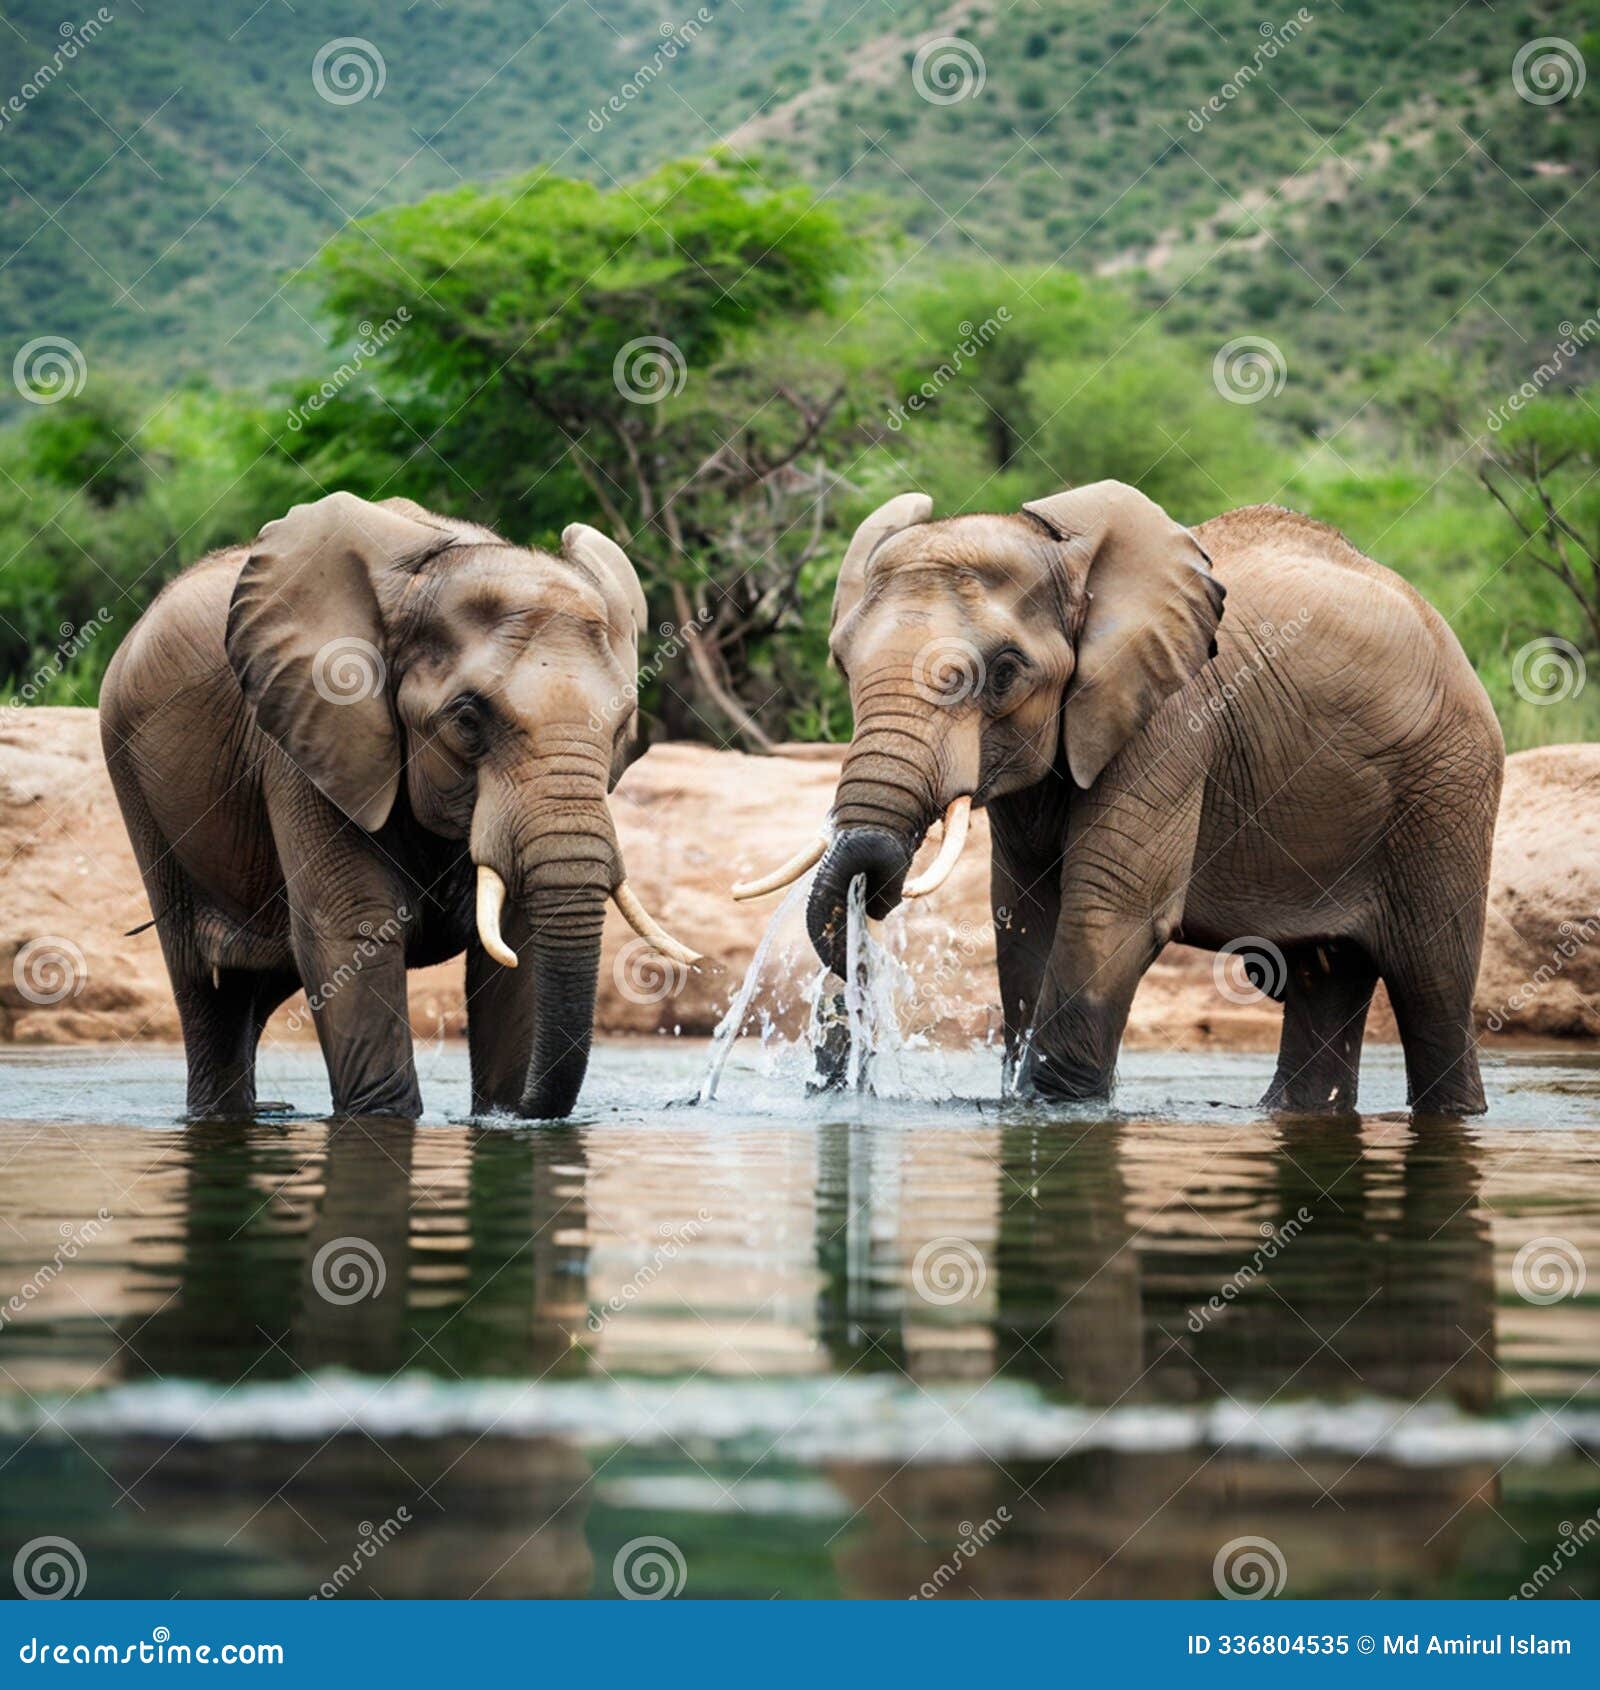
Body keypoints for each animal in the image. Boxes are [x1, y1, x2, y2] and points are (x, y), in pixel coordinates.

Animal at [101, 491, 699, 1121]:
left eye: (622, 724)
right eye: (467, 718)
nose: (523, 1112)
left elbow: (518, 948)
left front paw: (500, 1117)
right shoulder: (308, 736)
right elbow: (355, 929)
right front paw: (384, 1119)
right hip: (134, 774)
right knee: (208, 990)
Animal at [737, 482, 1504, 1115]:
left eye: (1004, 671)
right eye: (843, 663)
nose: (841, 1048)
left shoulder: (1173, 719)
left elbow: (1110, 909)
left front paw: (1053, 1108)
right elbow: (1023, 916)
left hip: (1447, 786)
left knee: (1432, 984)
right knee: (1329, 974)